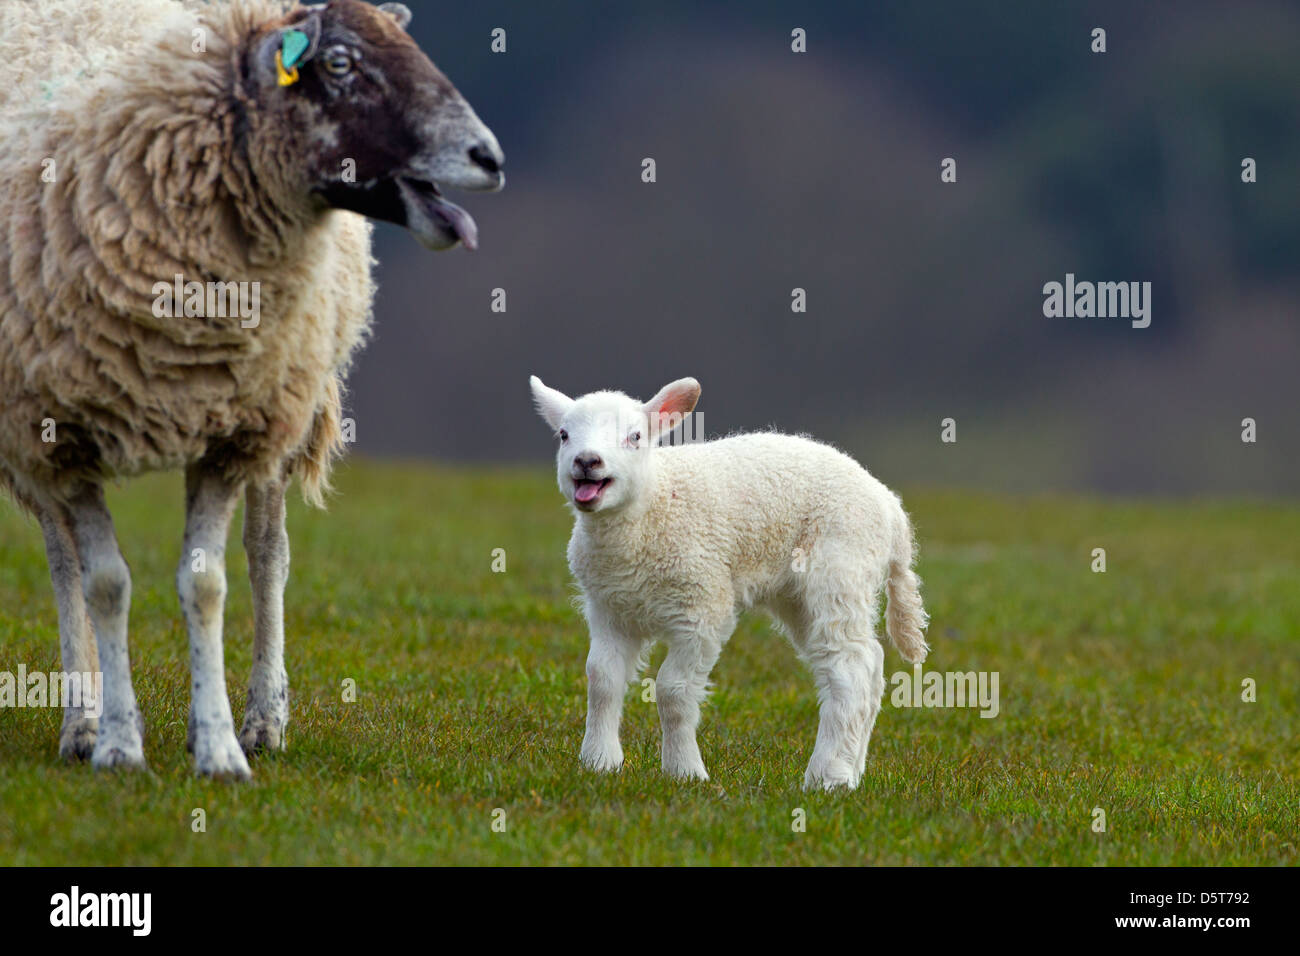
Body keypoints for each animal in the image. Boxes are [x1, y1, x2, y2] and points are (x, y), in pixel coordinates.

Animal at [0, 0, 504, 778]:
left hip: (285, 395)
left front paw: (219, 747)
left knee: (269, 554)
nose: (490, 158)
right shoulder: (62, 437)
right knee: (63, 563)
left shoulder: (234, 430)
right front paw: (117, 743)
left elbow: (207, 584)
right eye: (340, 64)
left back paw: (264, 719)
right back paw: (80, 721)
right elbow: (104, 583)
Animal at [529, 376, 930, 791]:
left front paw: (685, 771)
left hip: (840, 567)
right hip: (801, 596)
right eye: (563, 435)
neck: (651, 507)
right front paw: (599, 762)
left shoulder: (702, 605)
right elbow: (602, 681)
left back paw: (828, 776)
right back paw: (852, 770)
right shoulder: (609, 609)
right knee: (869, 663)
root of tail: (892, 510)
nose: (587, 462)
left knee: (849, 666)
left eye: (635, 436)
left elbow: (673, 690)